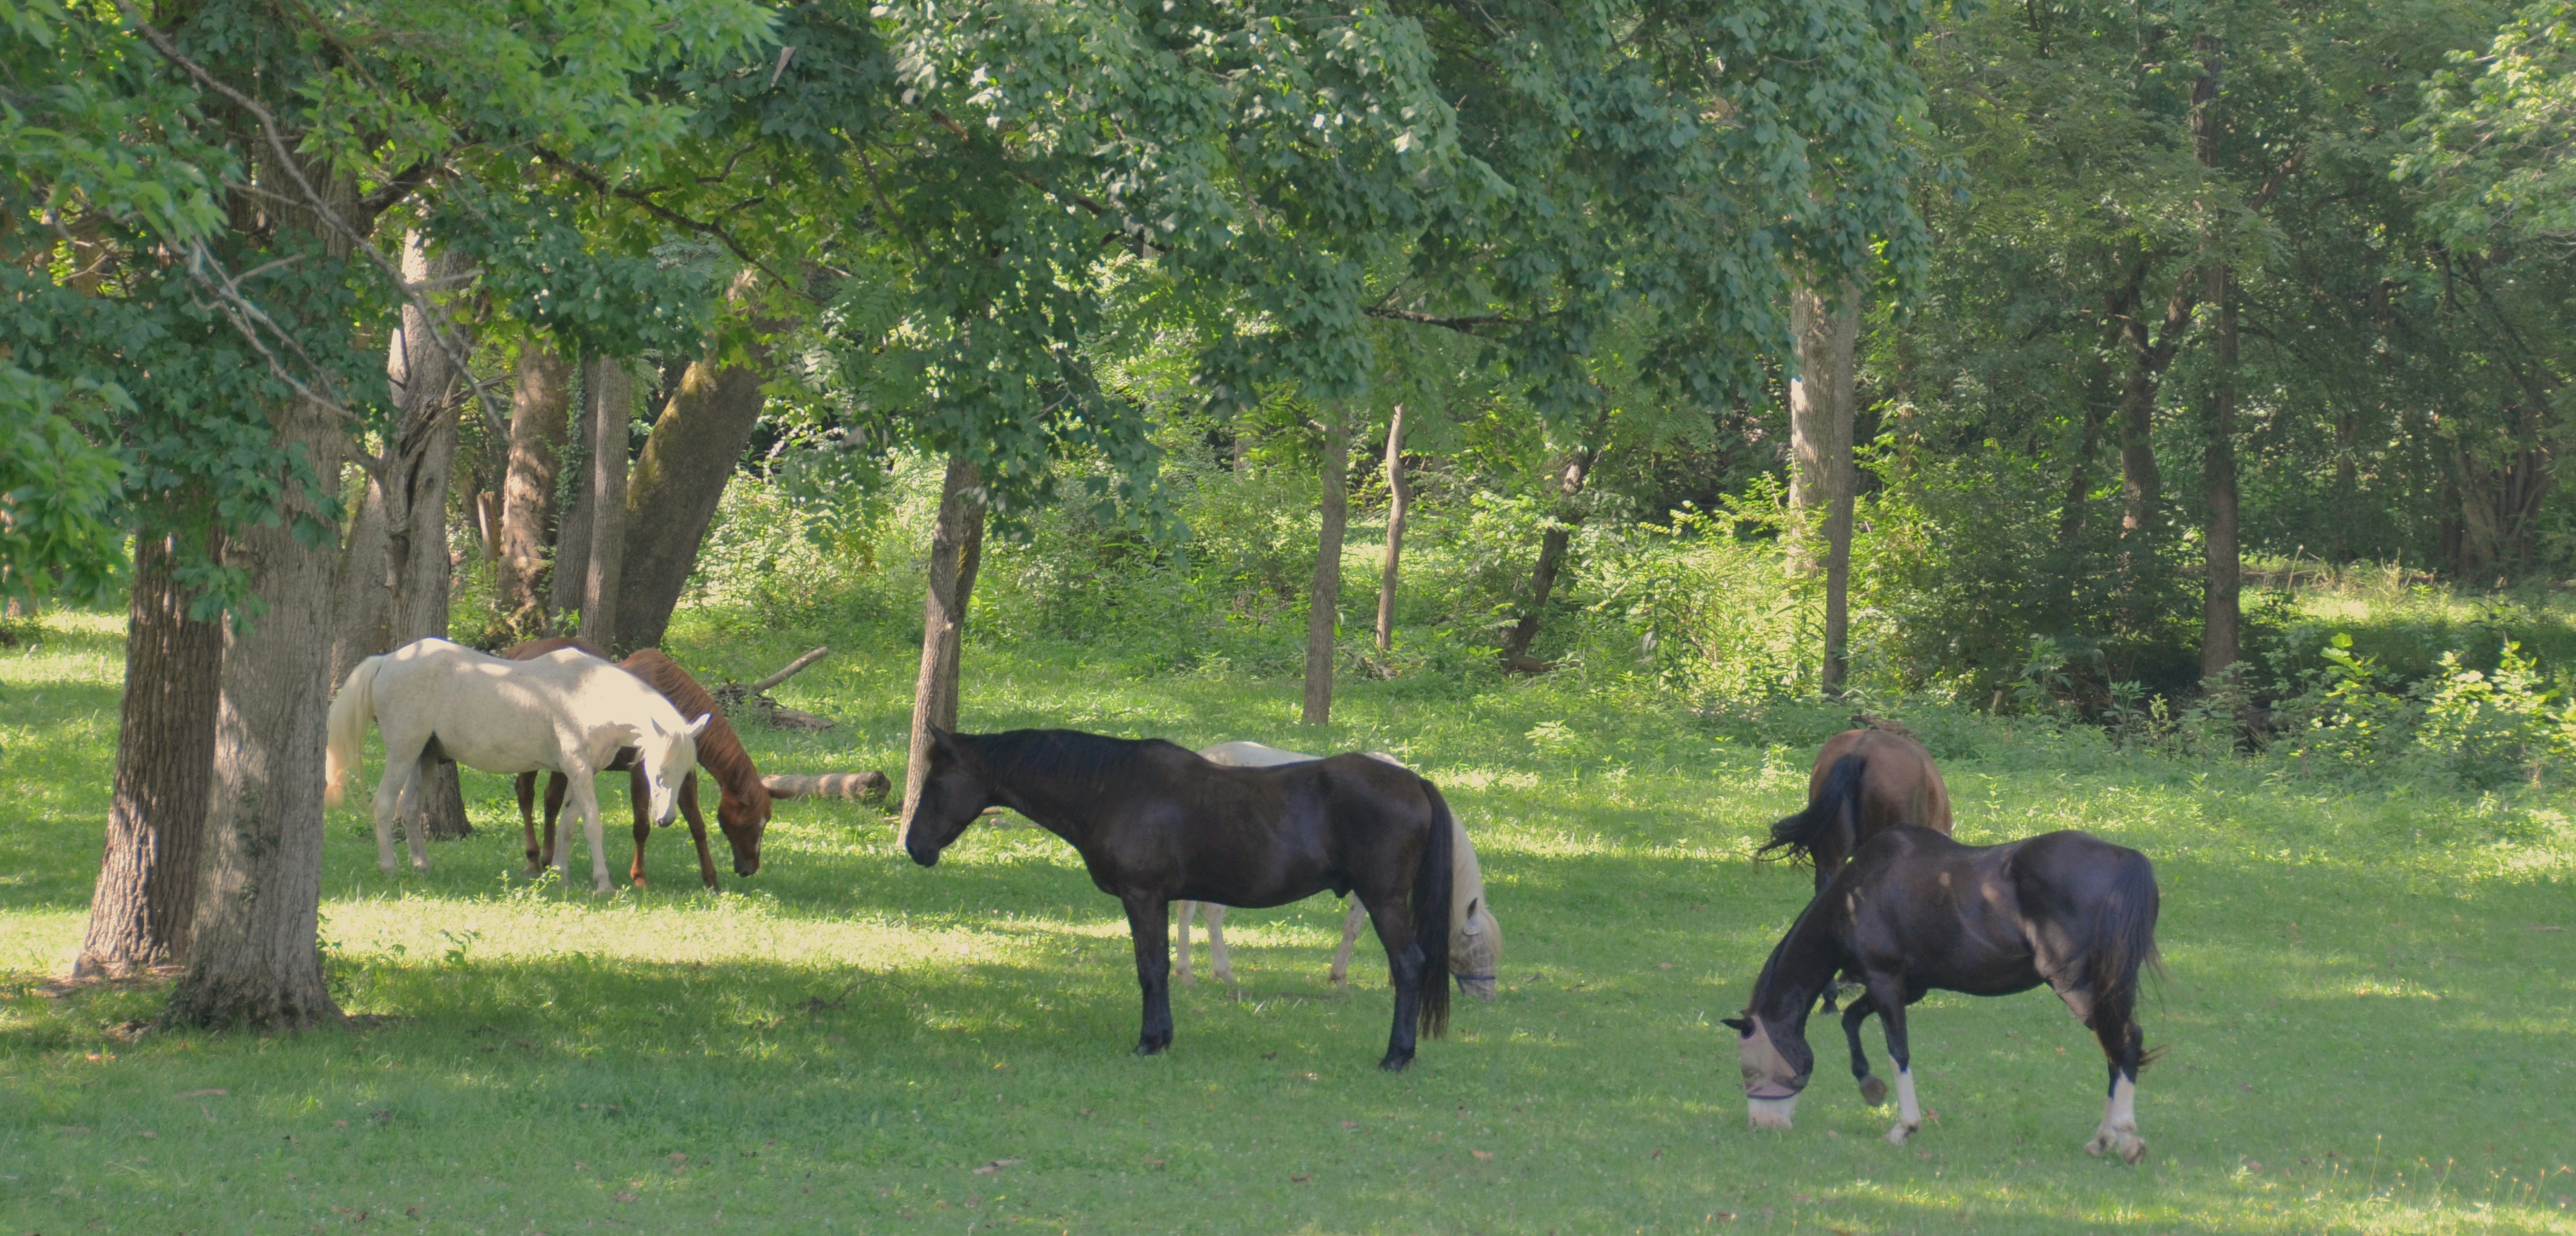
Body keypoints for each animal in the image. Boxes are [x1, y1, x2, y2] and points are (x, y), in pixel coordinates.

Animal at [326, 638, 708, 894]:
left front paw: (560, 875)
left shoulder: (578, 773)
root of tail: (387, 660)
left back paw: (422, 866)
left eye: (685, 774)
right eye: (658, 774)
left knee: (408, 808)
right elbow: (592, 825)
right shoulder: (579, 769)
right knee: (383, 804)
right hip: (403, 752)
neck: (590, 694)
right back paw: (389, 868)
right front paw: (603, 884)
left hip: (425, 758)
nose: (665, 820)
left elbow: (568, 824)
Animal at [502, 637, 771, 890]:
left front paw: (711, 879)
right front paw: (639, 877)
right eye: (748, 824)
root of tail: (518, 651)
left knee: (552, 800)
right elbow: (642, 826)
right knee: (526, 794)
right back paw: (533, 859)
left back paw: (549, 860)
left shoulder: (684, 774)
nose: (749, 869)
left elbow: (697, 824)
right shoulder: (641, 771)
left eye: (766, 821)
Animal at [901, 726, 1456, 1070]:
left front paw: (1150, 1041)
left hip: (1384, 900)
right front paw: (1163, 1036)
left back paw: (1396, 1055)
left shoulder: (1142, 896)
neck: (1112, 787)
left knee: (1409, 964)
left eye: (938, 781)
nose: (915, 846)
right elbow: (1161, 965)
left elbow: (1151, 968)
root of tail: (1413, 781)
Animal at [1175, 741, 1501, 1000]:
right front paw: (1342, 979)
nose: (1488, 996)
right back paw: (1209, 973)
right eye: (1476, 949)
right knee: (1202, 912)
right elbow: (1353, 927)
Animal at [1723, 826, 2162, 1164]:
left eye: (1749, 1068)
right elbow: (1850, 1019)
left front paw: (1904, 1127)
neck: (1860, 890)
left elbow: (1897, 1051)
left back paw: (2126, 1138)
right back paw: (2102, 1140)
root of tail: (2124, 858)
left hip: (2075, 985)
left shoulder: (1885, 982)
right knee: (2116, 1049)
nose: (1762, 1125)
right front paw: (1870, 1085)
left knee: (2125, 1042)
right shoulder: (1909, 988)